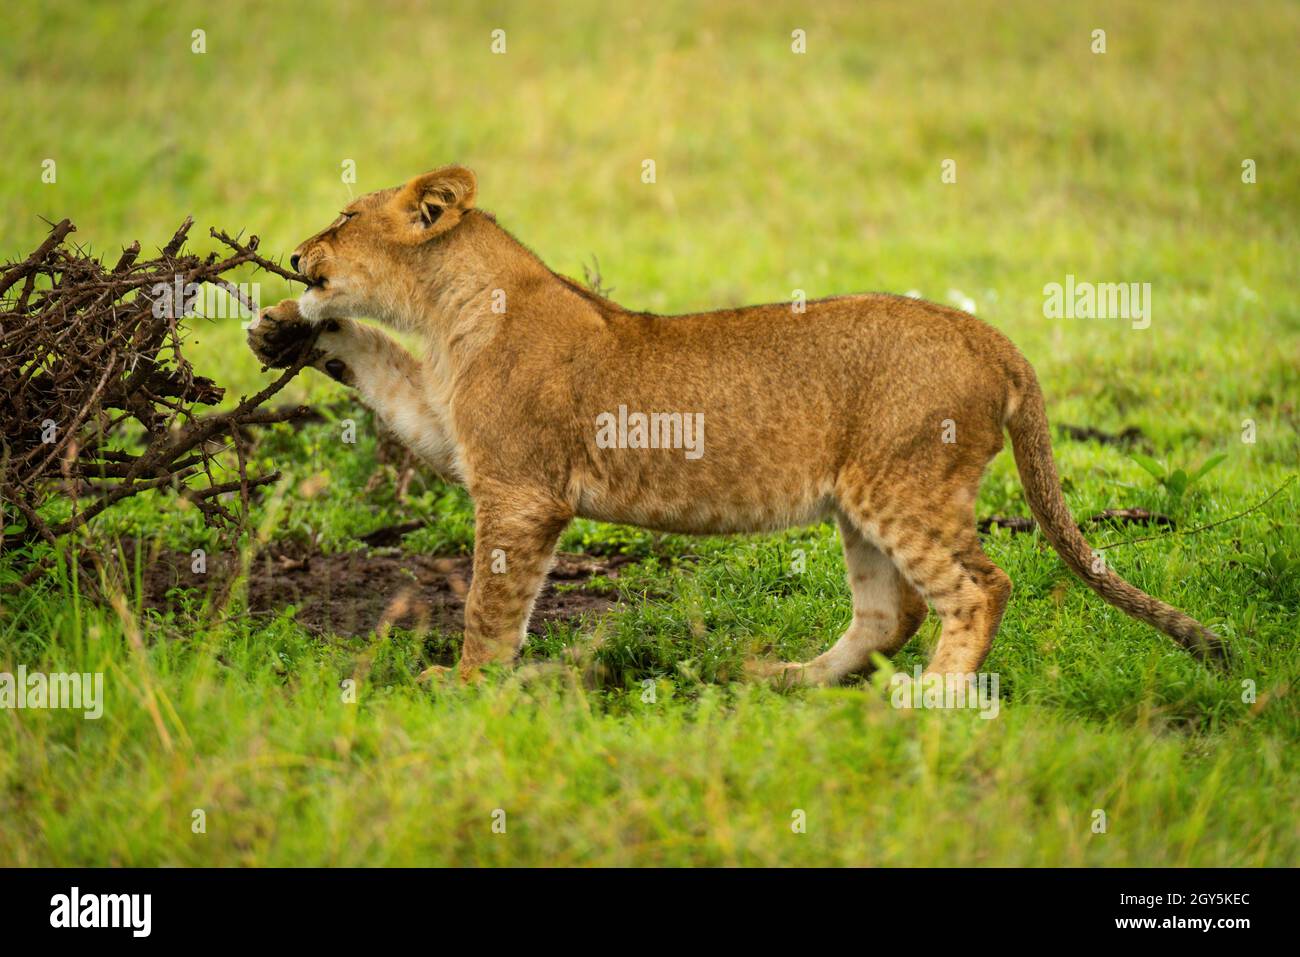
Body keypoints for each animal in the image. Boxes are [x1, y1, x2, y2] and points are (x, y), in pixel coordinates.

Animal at [248, 164, 1223, 684]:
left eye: (344, 216)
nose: (294, 256)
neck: (450, 307)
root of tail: (989, 335)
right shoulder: (451, 429)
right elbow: (384, 370)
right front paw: (288, 327)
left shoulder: (522, 489)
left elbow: (492, 604)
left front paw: (464, 684)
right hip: (860, 500)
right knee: (893, 610)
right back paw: (790, 681)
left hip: (904, 482)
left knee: (980, 588)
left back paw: (931, 702)